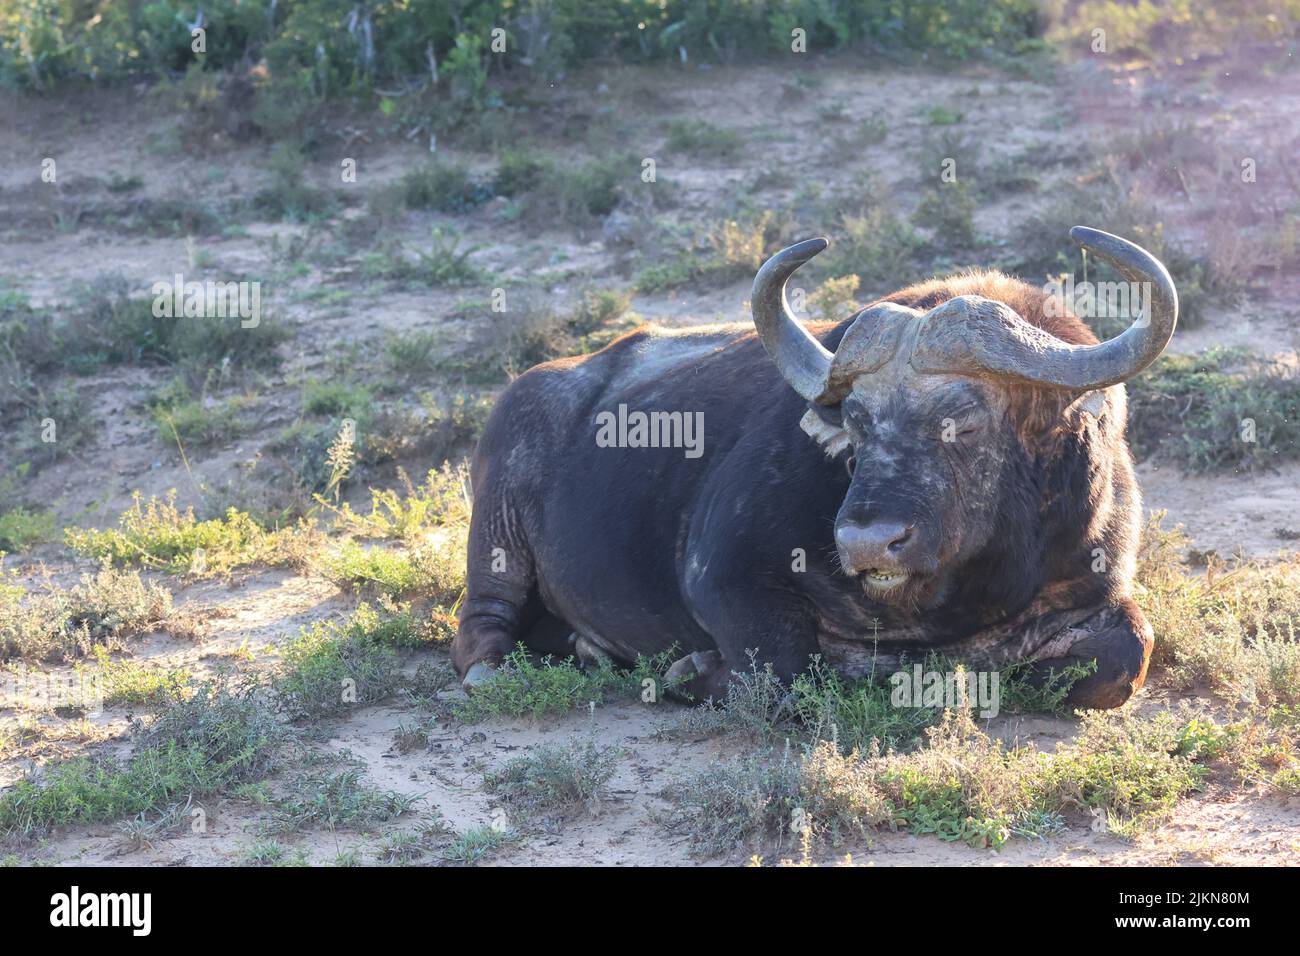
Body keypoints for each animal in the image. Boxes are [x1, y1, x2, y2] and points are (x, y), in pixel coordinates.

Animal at [450, 227, 1176, 710]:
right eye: (855, 423)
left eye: (965, 423)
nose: (867, 540)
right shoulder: (724, 578)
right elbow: (788, 673)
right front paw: (693, 672)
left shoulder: (1095, 585)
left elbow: (1127, 655)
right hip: (497, 535)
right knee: (481, 624)